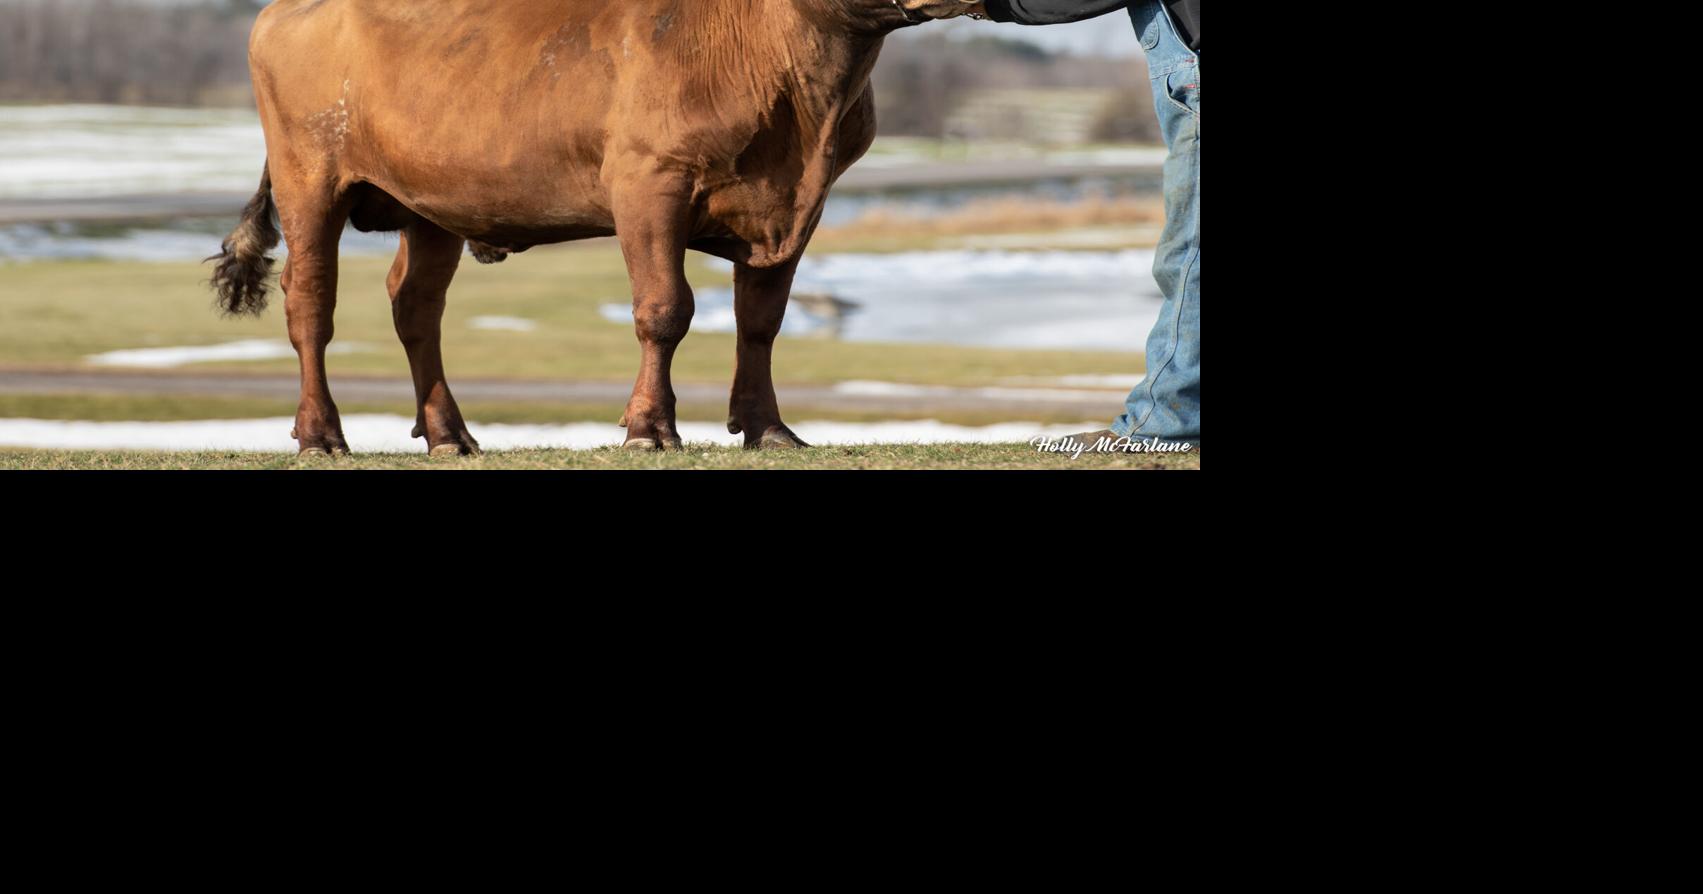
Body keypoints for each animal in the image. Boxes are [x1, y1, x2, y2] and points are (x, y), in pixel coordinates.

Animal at [209, 0, 979, 457]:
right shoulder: (649, 184)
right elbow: (665, 310)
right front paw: (650, 428)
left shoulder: (794, 211)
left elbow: (760, 321)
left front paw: (767, 427)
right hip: (310, 180)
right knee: (311, 304)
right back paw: (321, 435)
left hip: (430, 208)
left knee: (415, 308)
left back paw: (450, 434)